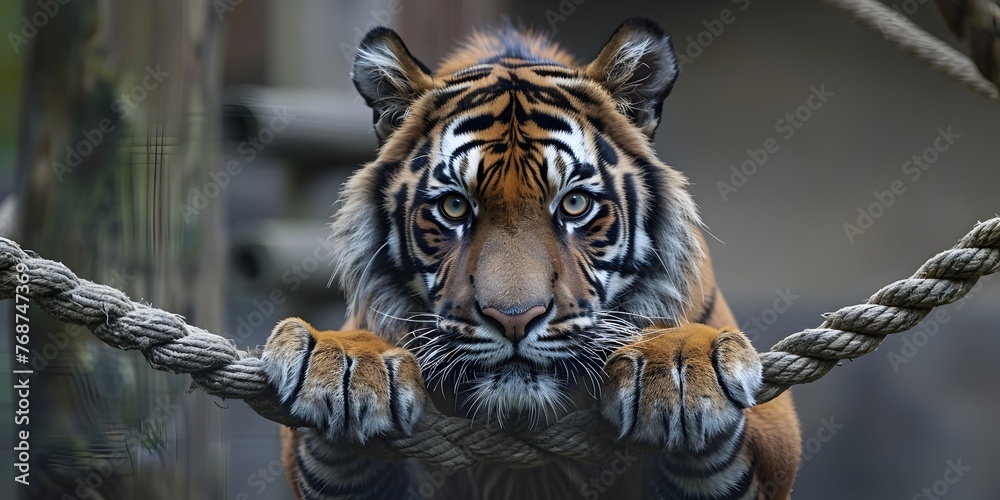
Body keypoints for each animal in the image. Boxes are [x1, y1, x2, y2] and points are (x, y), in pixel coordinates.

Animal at [260, 18, 802, 499]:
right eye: (454, 207)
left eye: (575, 204)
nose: (514, 319)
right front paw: (346, 365)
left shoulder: (774, 440)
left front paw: (682, 367)